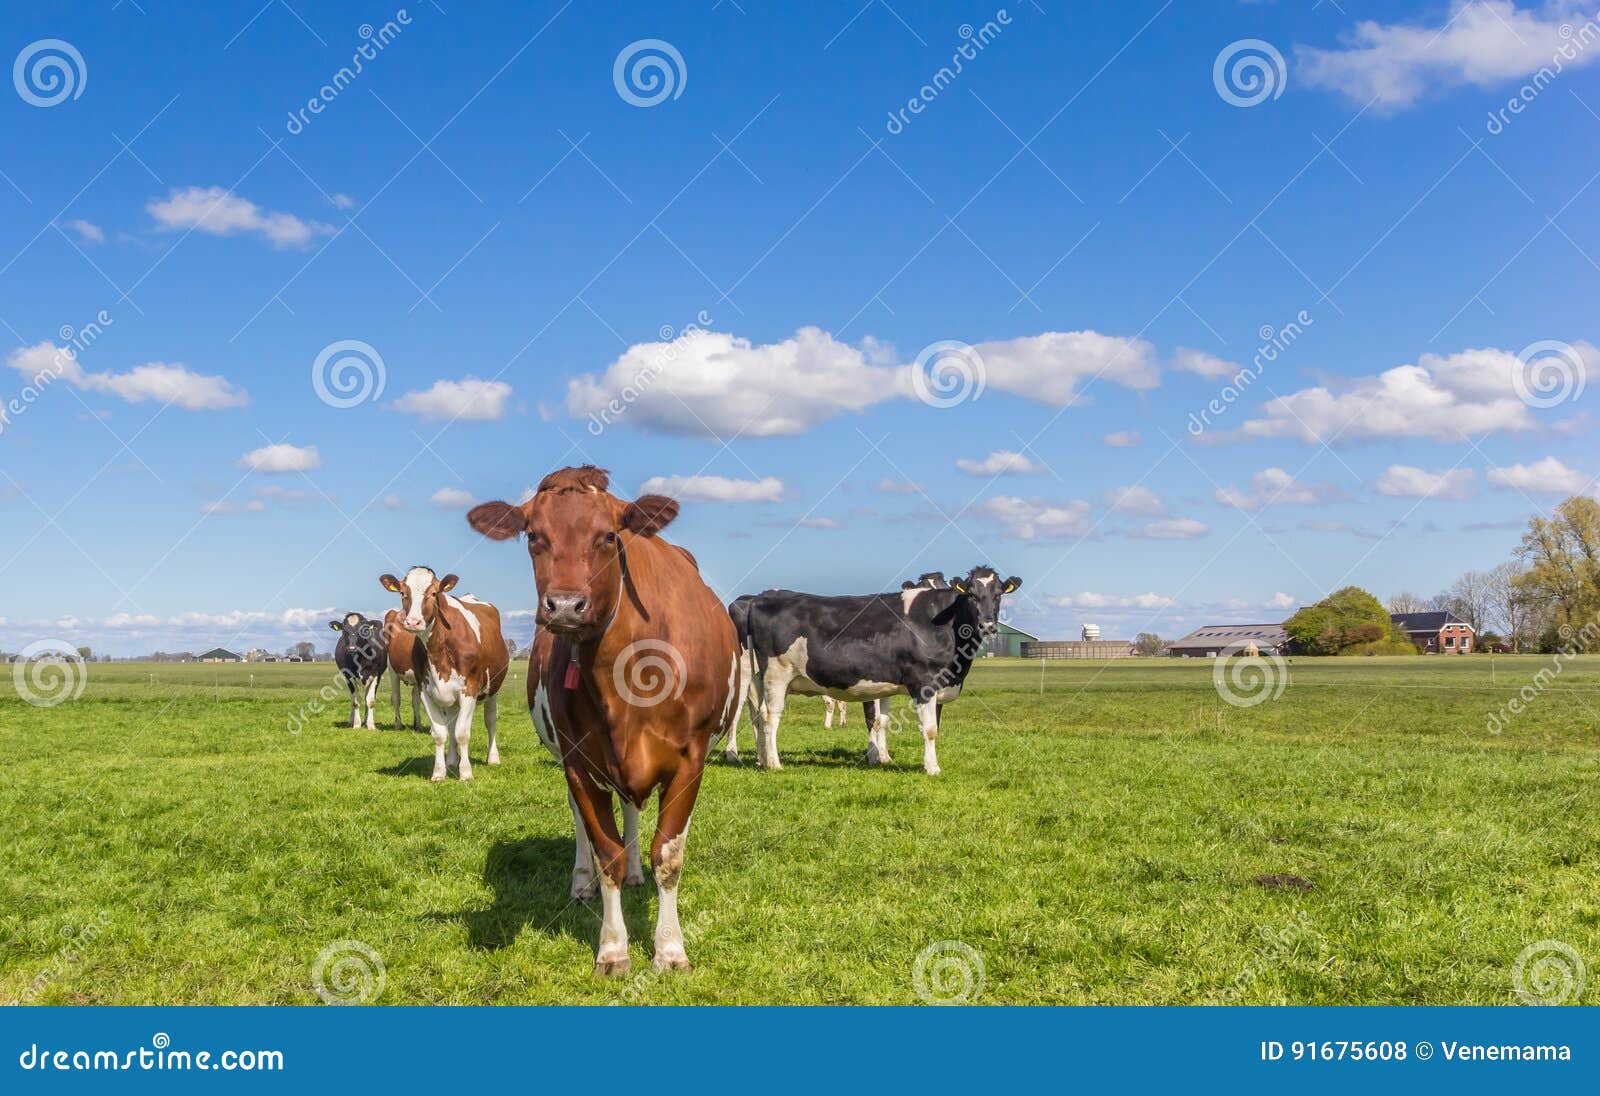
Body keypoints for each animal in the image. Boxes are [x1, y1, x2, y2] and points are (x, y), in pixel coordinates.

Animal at [378, 567, 509, 781]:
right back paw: (451, 760)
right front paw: (439, 772)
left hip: (493, 689)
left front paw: (466, 773)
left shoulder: (469, 689)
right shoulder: (426, 690)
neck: (438, 650)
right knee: (452, 724)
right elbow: (441, 733)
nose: (412, 622)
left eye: (433, 593)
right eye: (403, 593)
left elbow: (462, 733)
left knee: (490, 721)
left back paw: (492, 758)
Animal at [467, 465, 741, 976]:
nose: (565, 606)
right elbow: (605, 851)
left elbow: (668, 855)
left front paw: (670, 949)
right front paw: (613, 949)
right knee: (585, 824)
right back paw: (582, 882)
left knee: (632, 811)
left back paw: (637, 874)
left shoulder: (691, 760)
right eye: (533, 535)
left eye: (609, 536)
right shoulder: (578, 760)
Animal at [734, 565, 1020, 774]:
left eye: (998, 594)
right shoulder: (924, 683)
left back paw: (761, 759)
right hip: (776, 674)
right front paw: (932, 769)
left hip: (760, 678)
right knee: (769, 716)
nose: (987, 625)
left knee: (757, 715)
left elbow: (889, 722)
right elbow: (928, 729)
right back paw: (774, 764)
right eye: (971, 594)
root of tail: (762, 597)